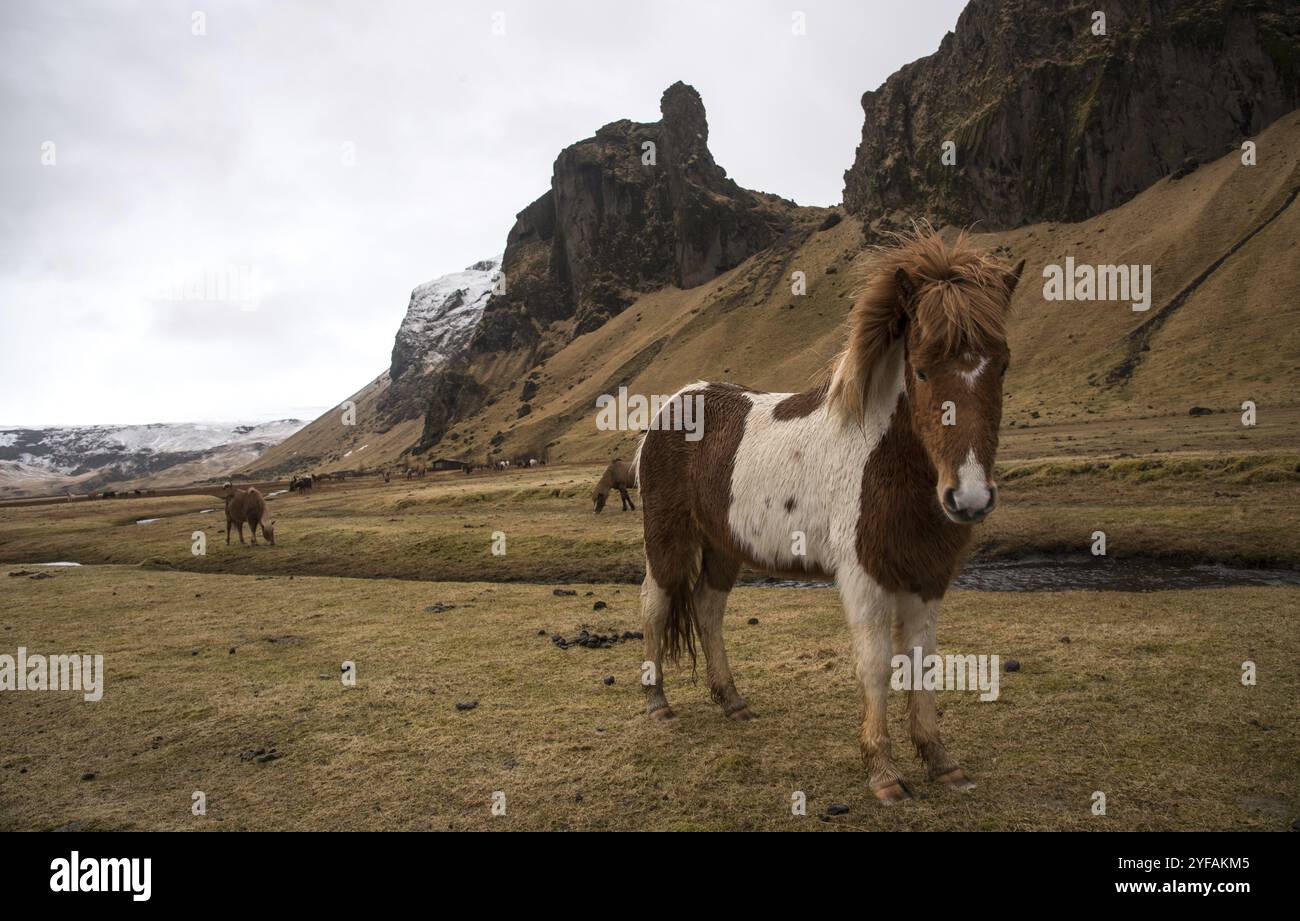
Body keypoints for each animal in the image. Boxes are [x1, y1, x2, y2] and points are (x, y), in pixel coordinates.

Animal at [633, 228, 1023, 805]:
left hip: (724, 547)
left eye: (1001, 365)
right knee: (656, 605)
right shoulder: (864, 578)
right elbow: (876, 666)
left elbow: (923, 664)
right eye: (922, 368)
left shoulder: (927, 578)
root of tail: (673, 406)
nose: (969, 498)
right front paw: (884, 773)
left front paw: (941, 762)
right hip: (668, 539)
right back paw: (658, 704)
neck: (885, 461)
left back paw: (733, 701)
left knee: (707, 609)